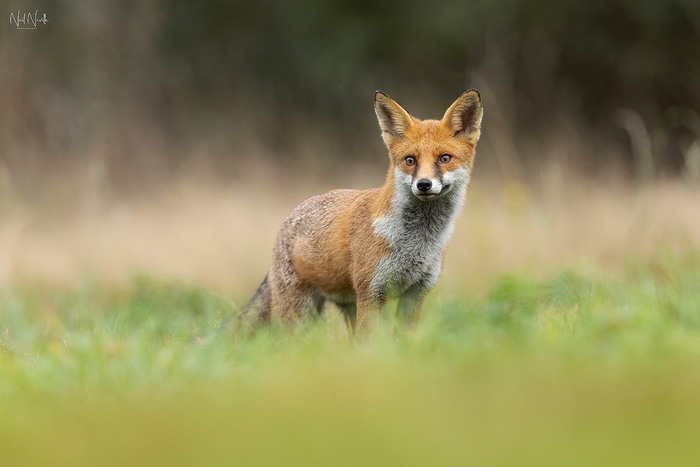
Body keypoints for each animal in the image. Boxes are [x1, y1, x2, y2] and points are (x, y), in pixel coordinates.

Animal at [241, 90, 483, 336]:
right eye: (410, 160)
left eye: (444, 158)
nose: (424, 184)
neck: (416, 243)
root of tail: (290, 217)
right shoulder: (371, 291)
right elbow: (369, 340)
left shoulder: (416, 293)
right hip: (300, 313)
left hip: (347, 306)